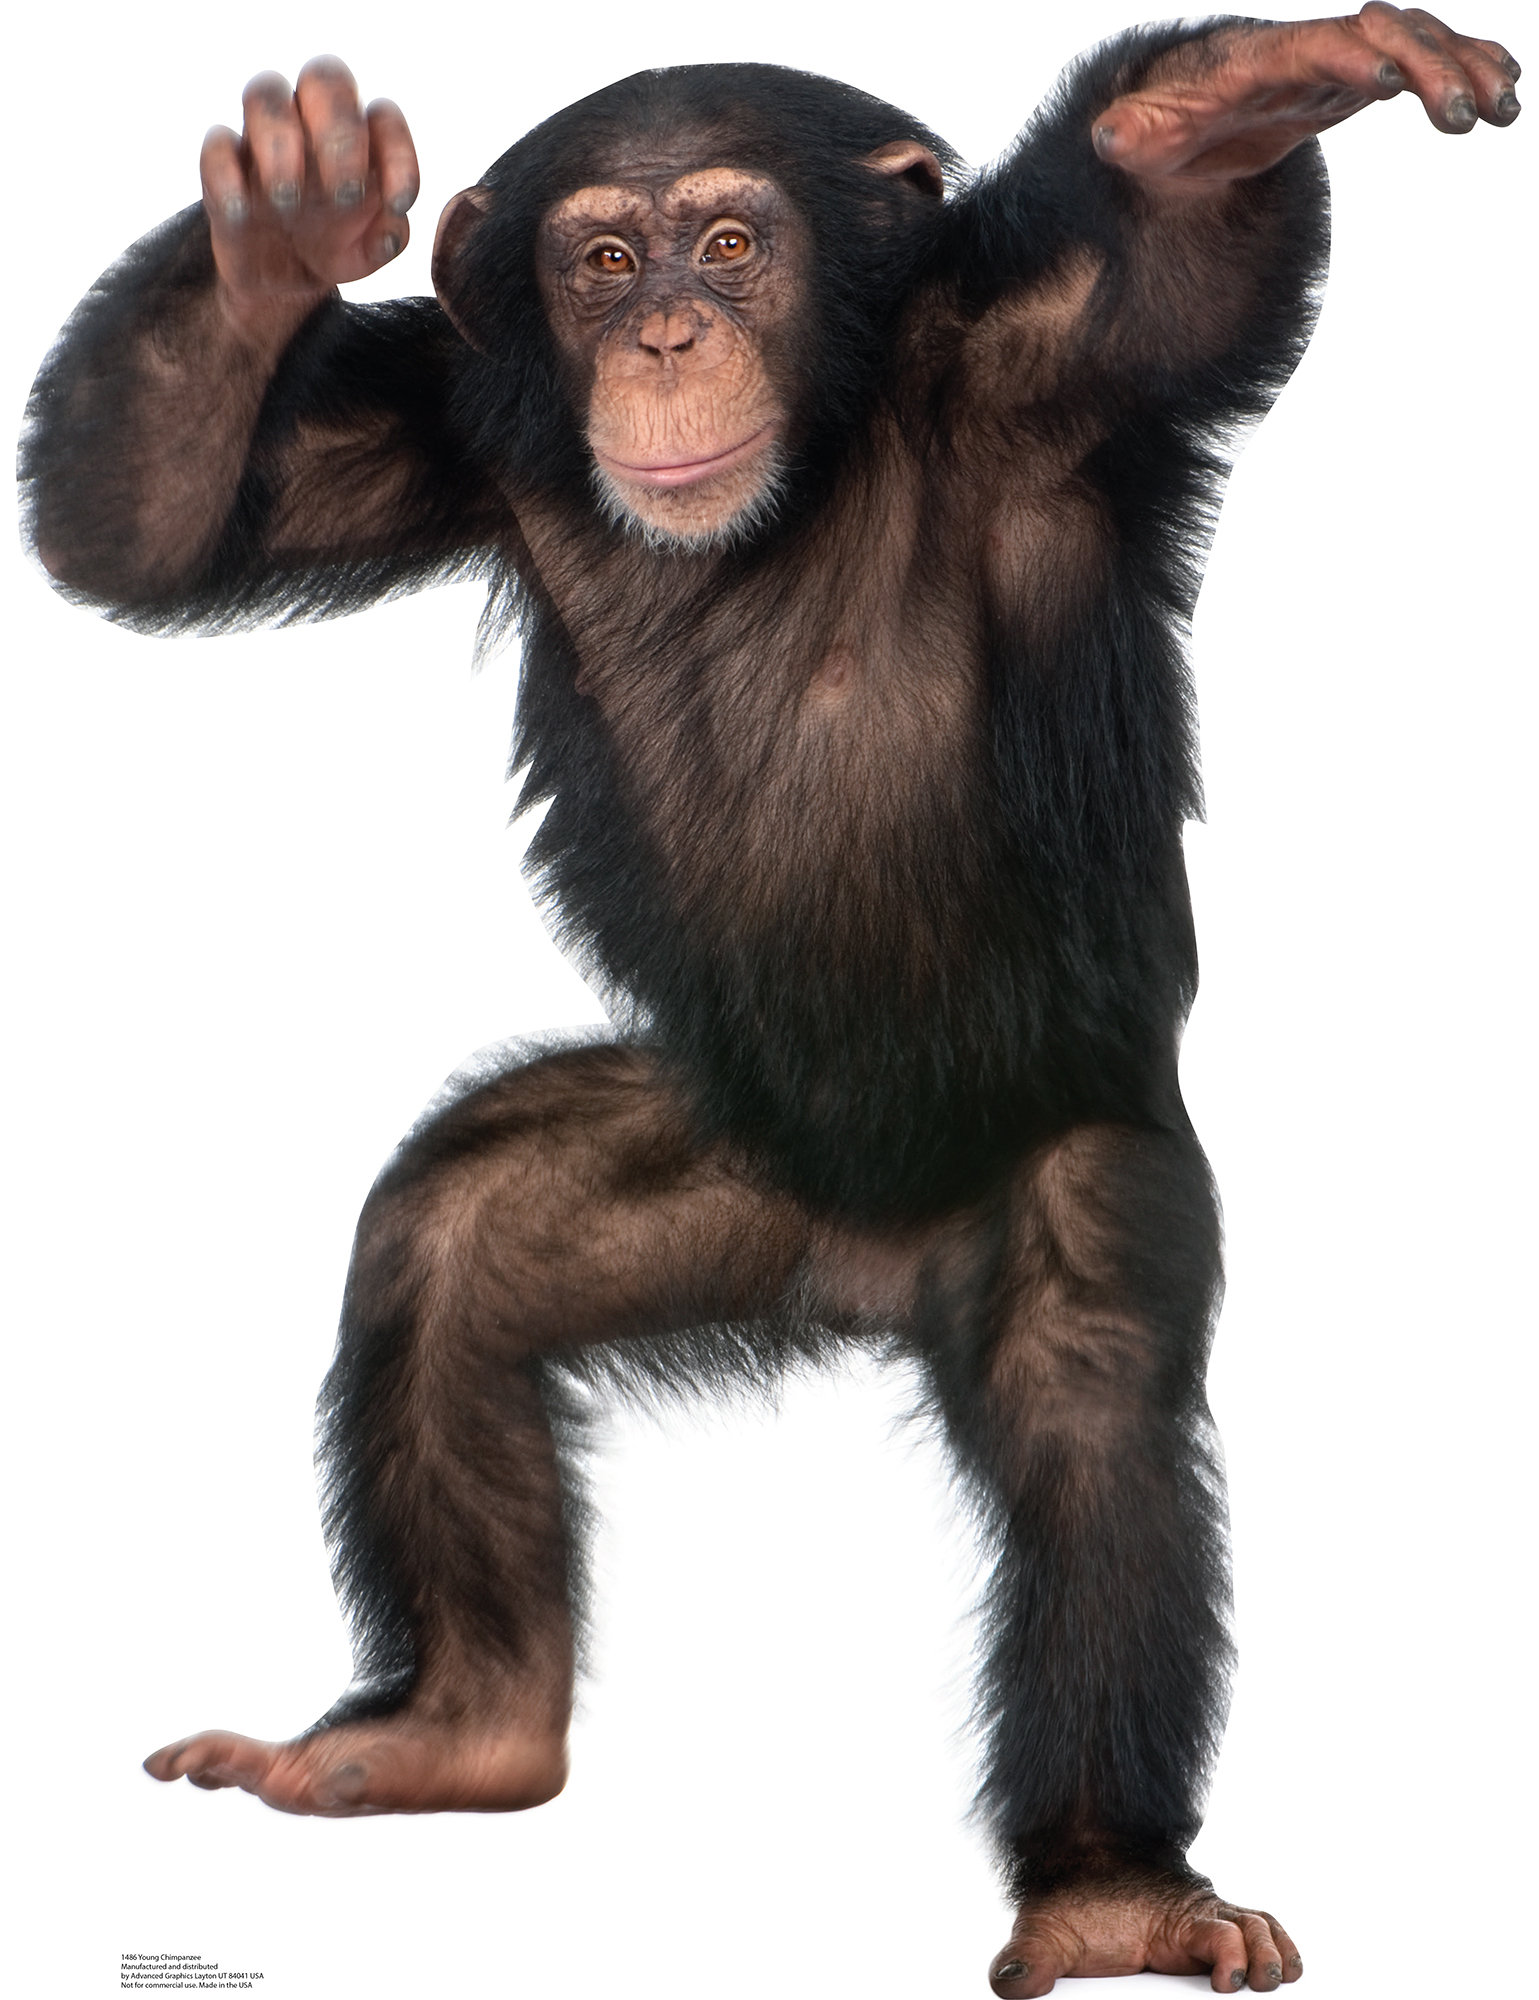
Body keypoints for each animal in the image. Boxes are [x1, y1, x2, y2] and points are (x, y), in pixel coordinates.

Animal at [20, 10, 1523, 1993]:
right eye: (600, 260)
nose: (664, 330)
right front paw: (279, 229)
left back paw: (1109, 1885)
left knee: (1090, 1397)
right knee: (448, 1247)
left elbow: (1171, 263)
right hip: (710, 1168)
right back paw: (455, 1730)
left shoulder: (1049, 365)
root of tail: (862, 1276)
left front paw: (1216, 112)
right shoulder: (447, 431)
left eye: (729, 245)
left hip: (1050, 1164)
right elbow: (150, 527)